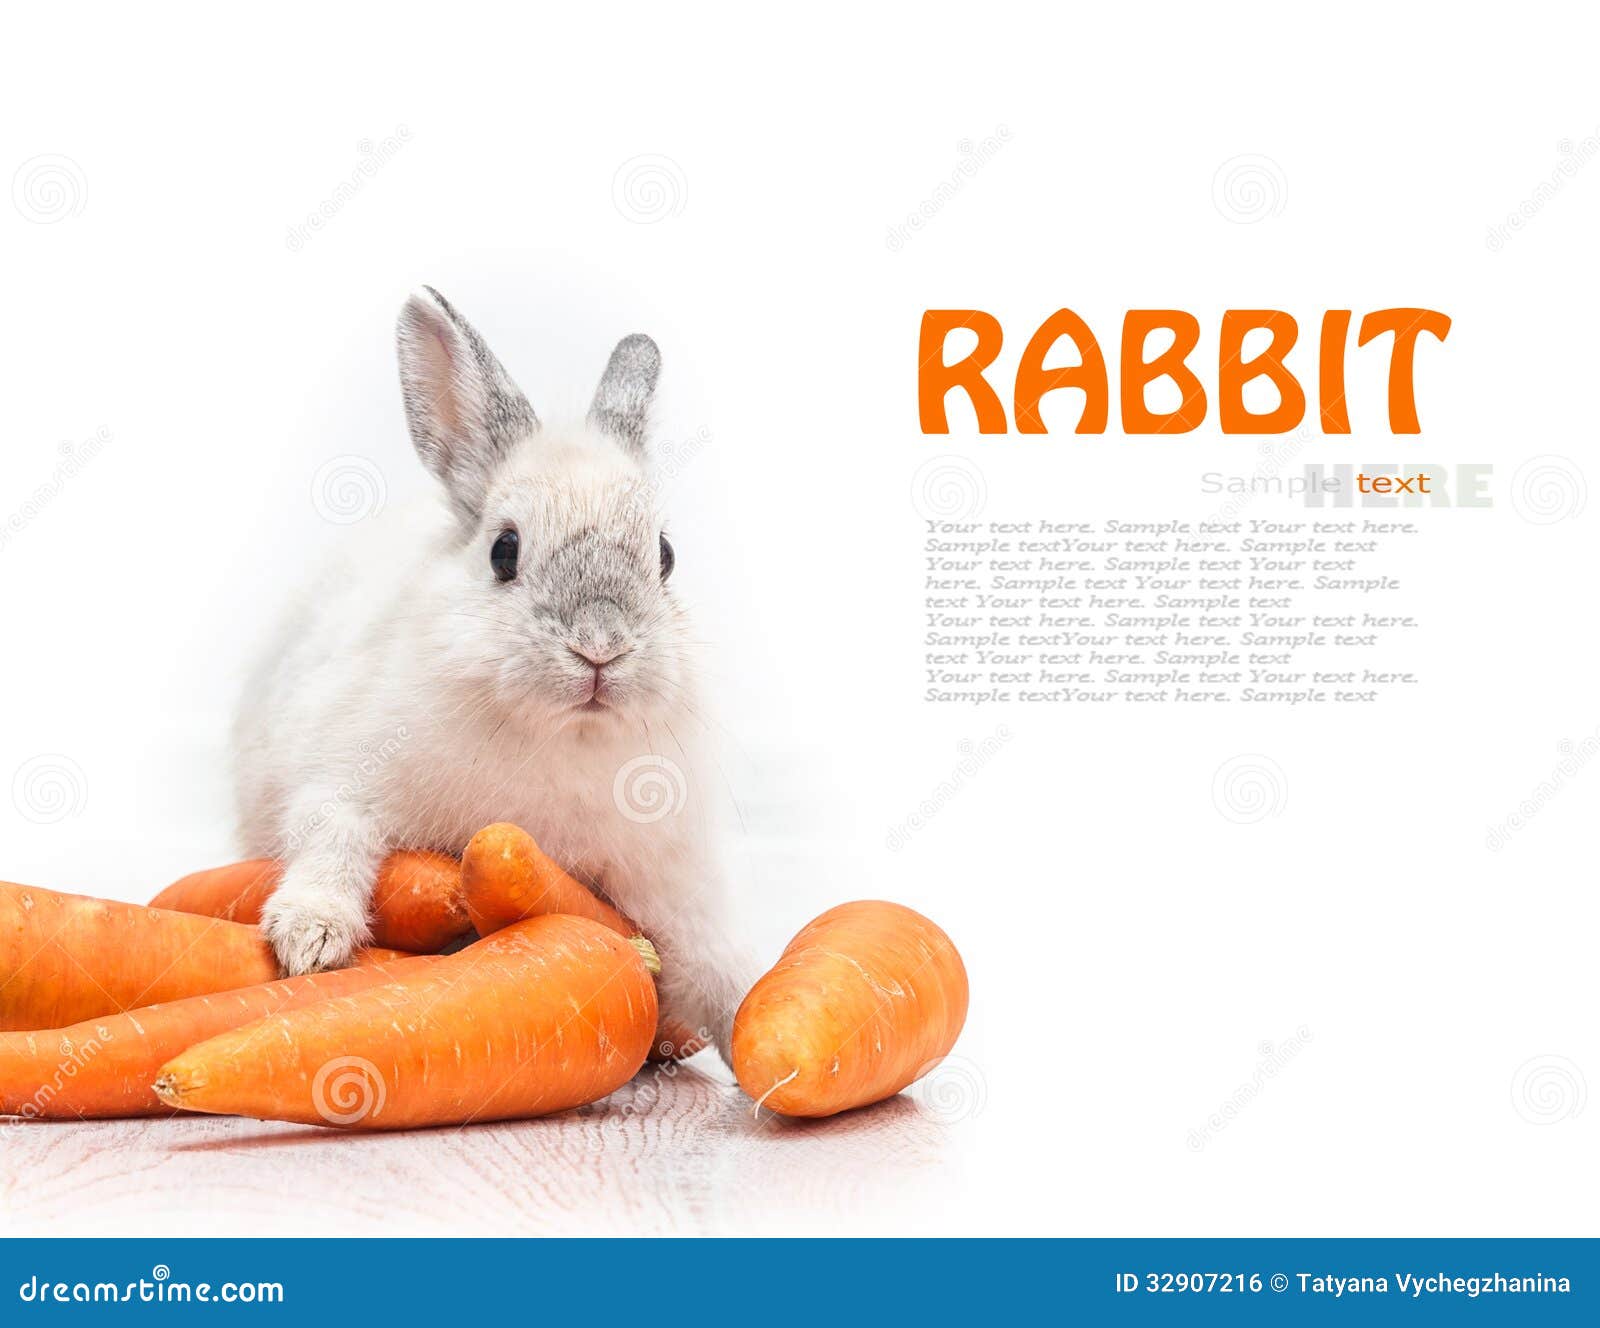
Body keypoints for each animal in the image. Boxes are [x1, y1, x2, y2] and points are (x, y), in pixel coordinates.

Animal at [232, 286, 758, 1062]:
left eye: (664, 556)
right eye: (503, 551)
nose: (600, 647)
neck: (559, 737)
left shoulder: (668, 869)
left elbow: (711, 953)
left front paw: (762, 1027)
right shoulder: (339, 781)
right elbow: (331, 840)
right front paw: (309, 939)